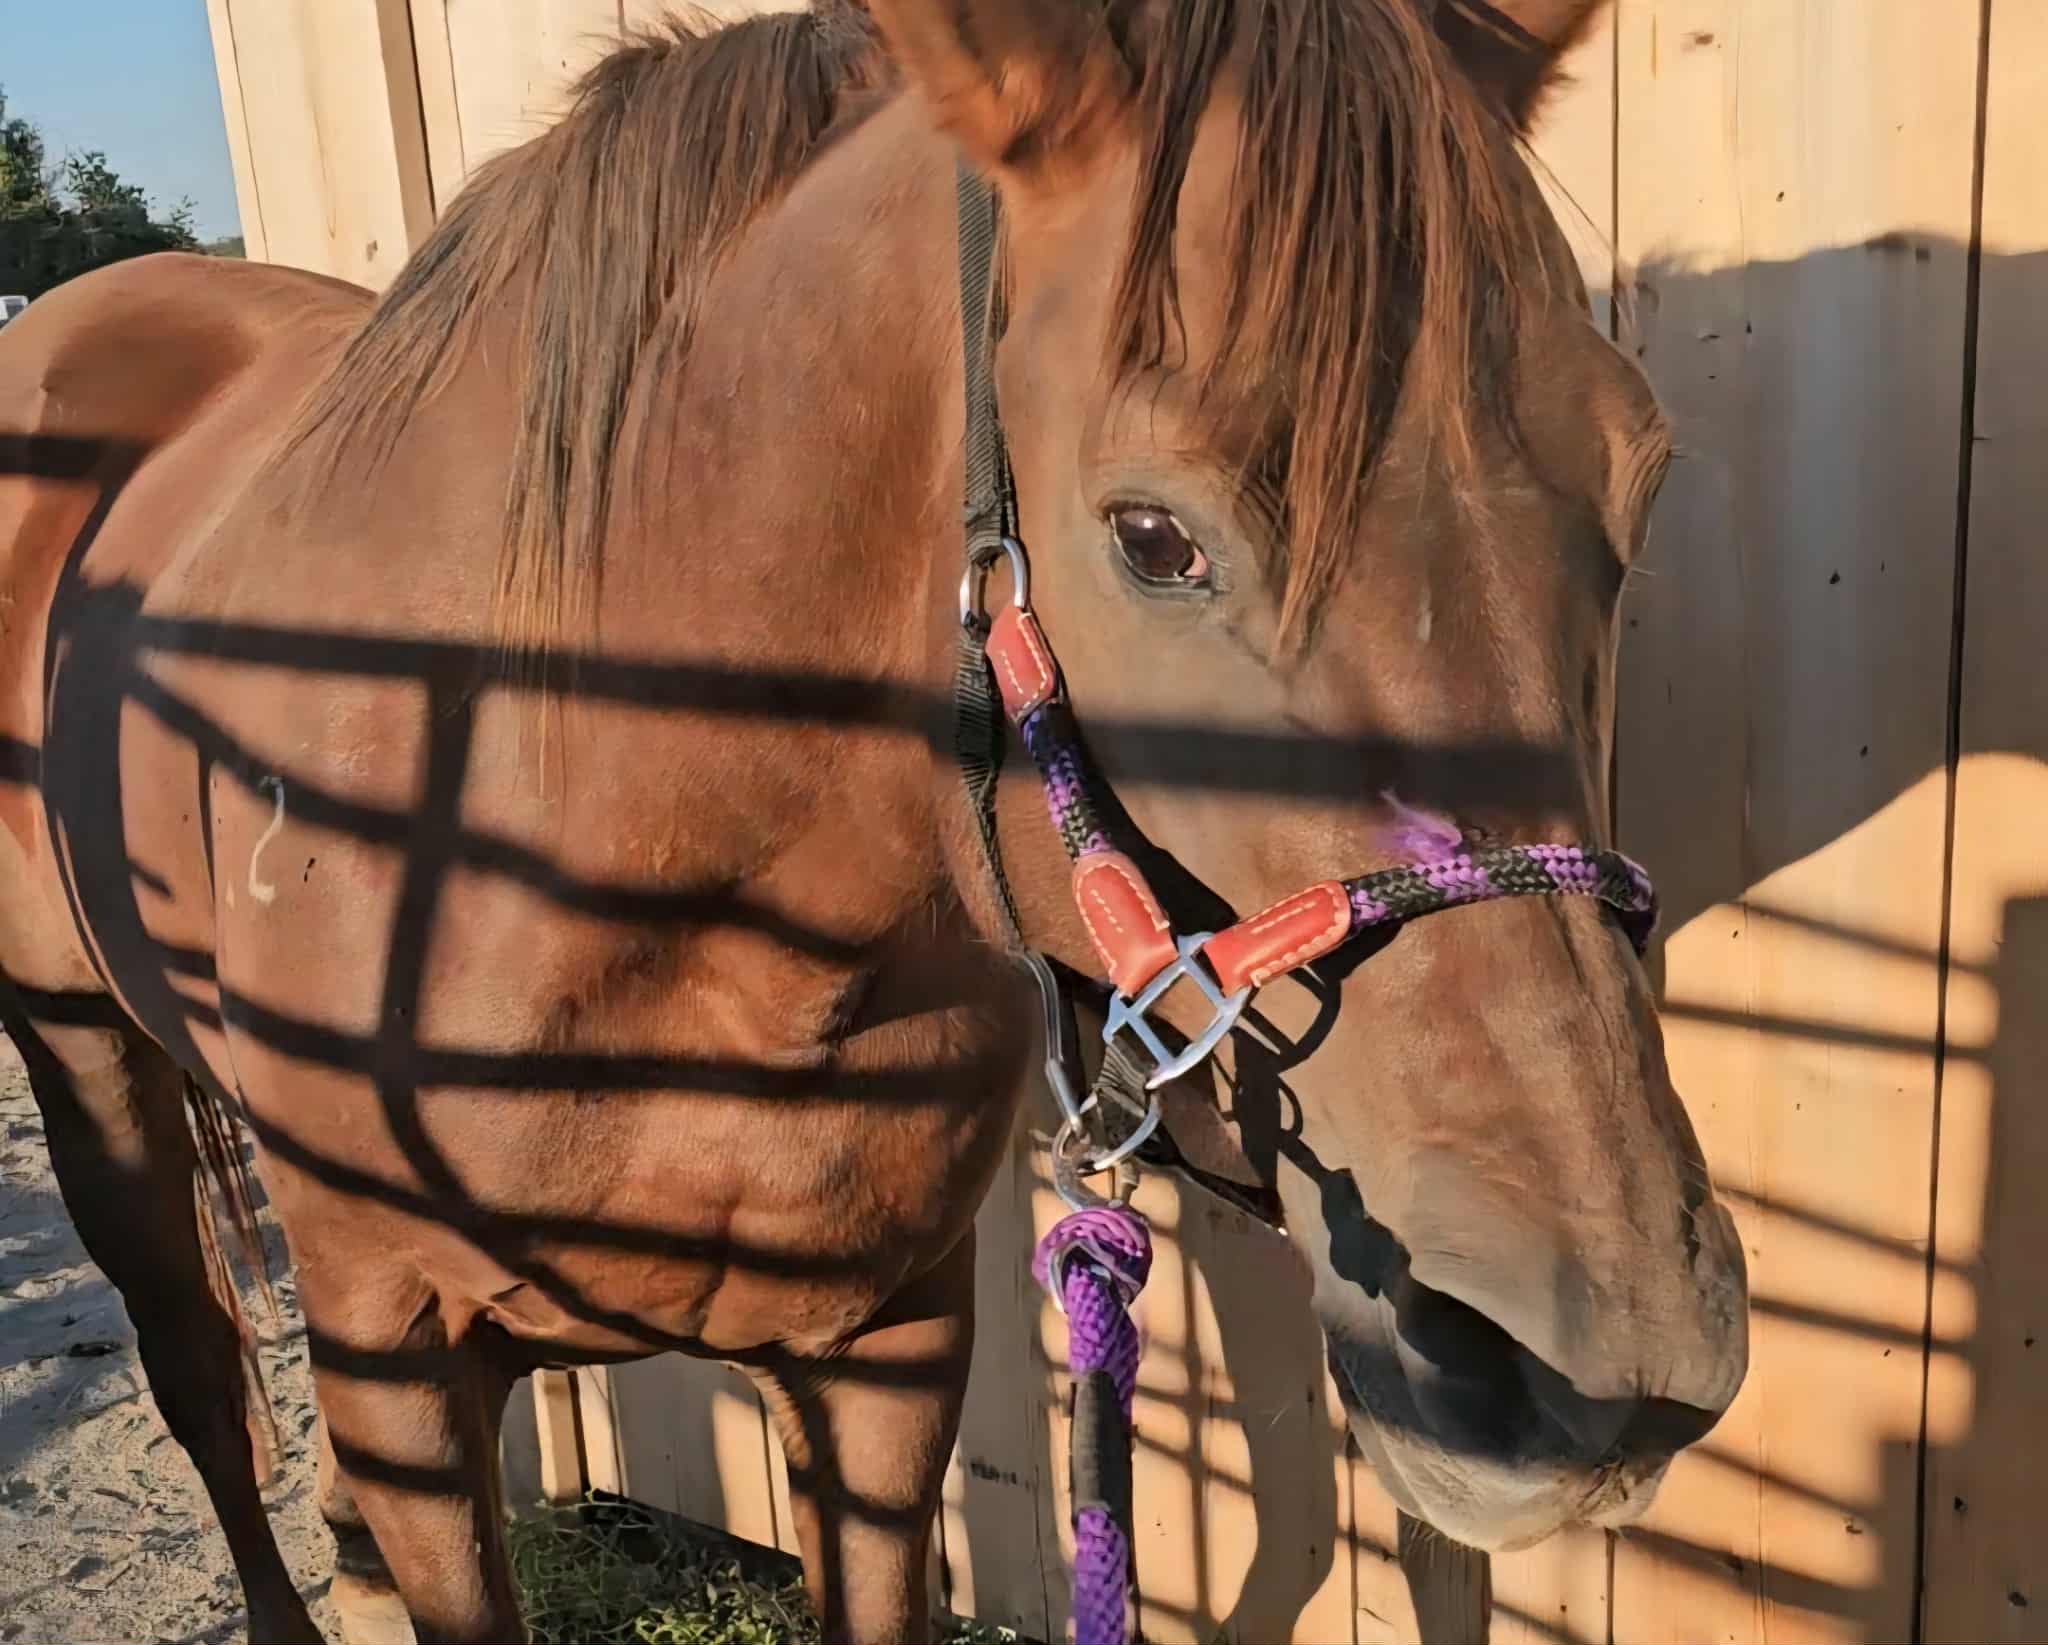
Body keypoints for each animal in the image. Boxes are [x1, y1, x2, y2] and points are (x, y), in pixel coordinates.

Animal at [0, 0, 1749, 1638]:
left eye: (1645, 480)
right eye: (1153, 537)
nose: (1613, 1358)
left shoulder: (888, 1353)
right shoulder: (398, 1365)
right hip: (85, 1063)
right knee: (197, 1372)